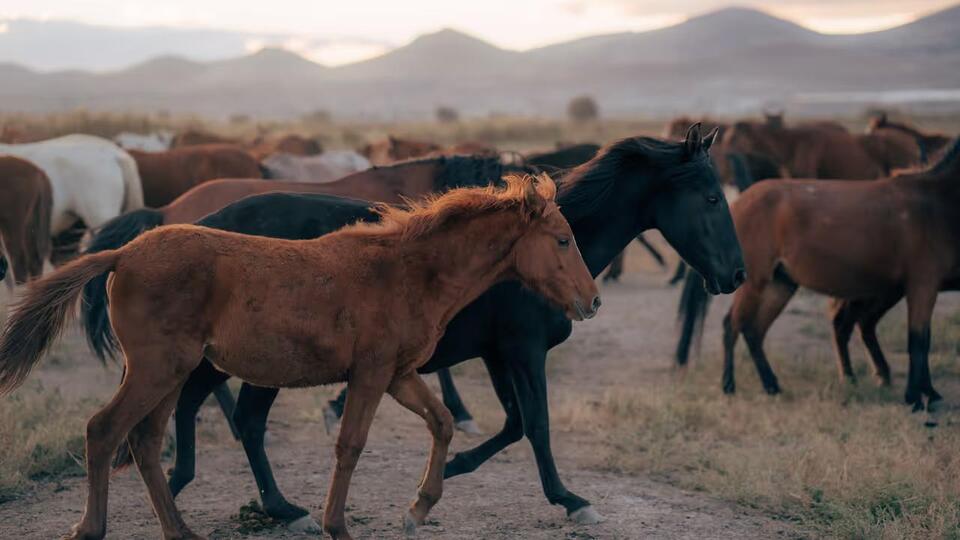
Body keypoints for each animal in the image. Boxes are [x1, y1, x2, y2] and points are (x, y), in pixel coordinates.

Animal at [144, 125, 745, 528]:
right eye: (713, 198)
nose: (736, 274)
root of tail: (197, 222)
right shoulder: (522, 352)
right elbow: (536, 425)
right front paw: (570, 500)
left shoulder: (499, 355)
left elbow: (513, 424)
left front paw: (447, 472)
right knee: (232, 415)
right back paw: (268, 505)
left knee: (218, 409)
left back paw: (225, 492)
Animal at [675, 137, 960, 412]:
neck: (934, 203)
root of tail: (738, 202)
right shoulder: (922, 286)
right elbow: (919, 341)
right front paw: (916, 398)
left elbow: (921, 340)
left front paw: (927, 394)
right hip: (755, 283)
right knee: (733, 325)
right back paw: (729, 386)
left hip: (781, 285)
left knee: (755, 330)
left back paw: (772, 385)